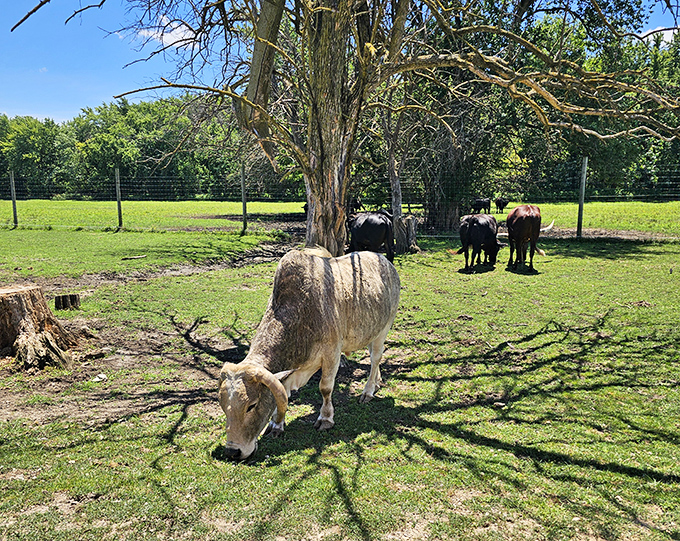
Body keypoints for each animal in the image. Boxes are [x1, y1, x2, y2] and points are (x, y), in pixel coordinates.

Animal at [217, 249, 400, 461]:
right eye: (223, 405)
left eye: (252, 405)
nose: (232, 451)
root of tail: (385, 261)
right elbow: (283, 390)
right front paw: (276, 425)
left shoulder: (331, 354)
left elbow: (325, 388)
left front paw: (325, 419)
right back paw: (377, 382)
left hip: (383, 329)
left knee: (375, 359)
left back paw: (368, 391)